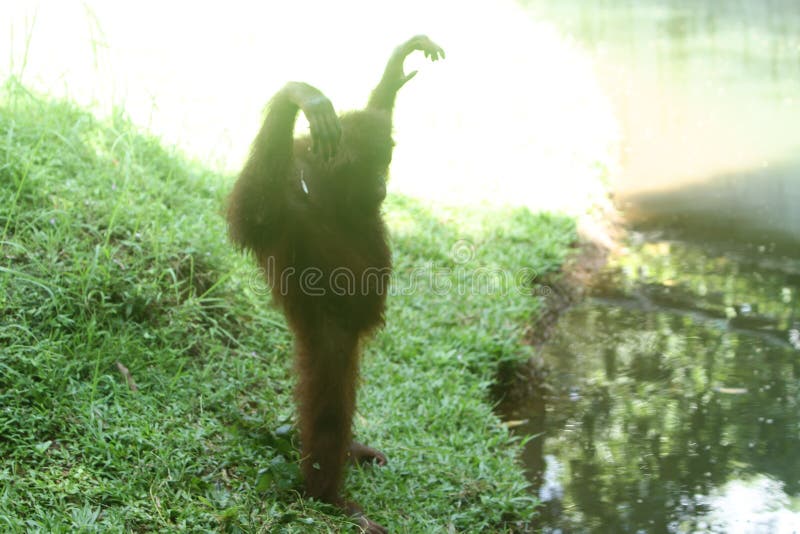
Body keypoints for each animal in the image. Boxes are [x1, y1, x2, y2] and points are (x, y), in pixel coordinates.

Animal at [226, 35, 445, 533]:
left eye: (387, 161)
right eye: (369, 168)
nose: (383, 184)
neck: (326, 194)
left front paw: (392, 73)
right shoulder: (286, 203)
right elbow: (254, 212)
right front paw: (297, 96)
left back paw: (351, 453)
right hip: (327, 339)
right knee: (329, 404)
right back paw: (329, 496)